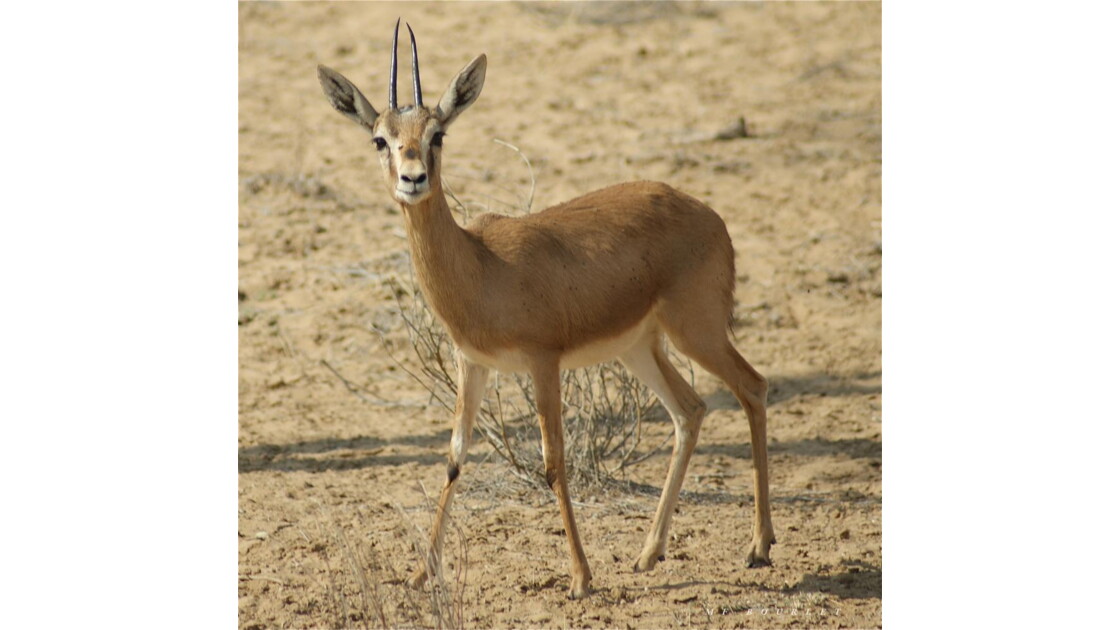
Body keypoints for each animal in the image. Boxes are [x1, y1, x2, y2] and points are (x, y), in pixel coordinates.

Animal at [317, 21, 775, 599]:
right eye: (381, 138)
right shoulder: (473, 363)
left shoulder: (543, 361)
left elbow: (554, 461)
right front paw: (422, 572)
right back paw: (649, 553)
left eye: (438, 133)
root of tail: (709, 215)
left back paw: (758, 547)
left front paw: (580, 576)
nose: (413, 178)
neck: (481, 267)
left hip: (697, 330)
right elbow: (454, 457)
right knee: (690, 410)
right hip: (639, 348)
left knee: (752, 386)